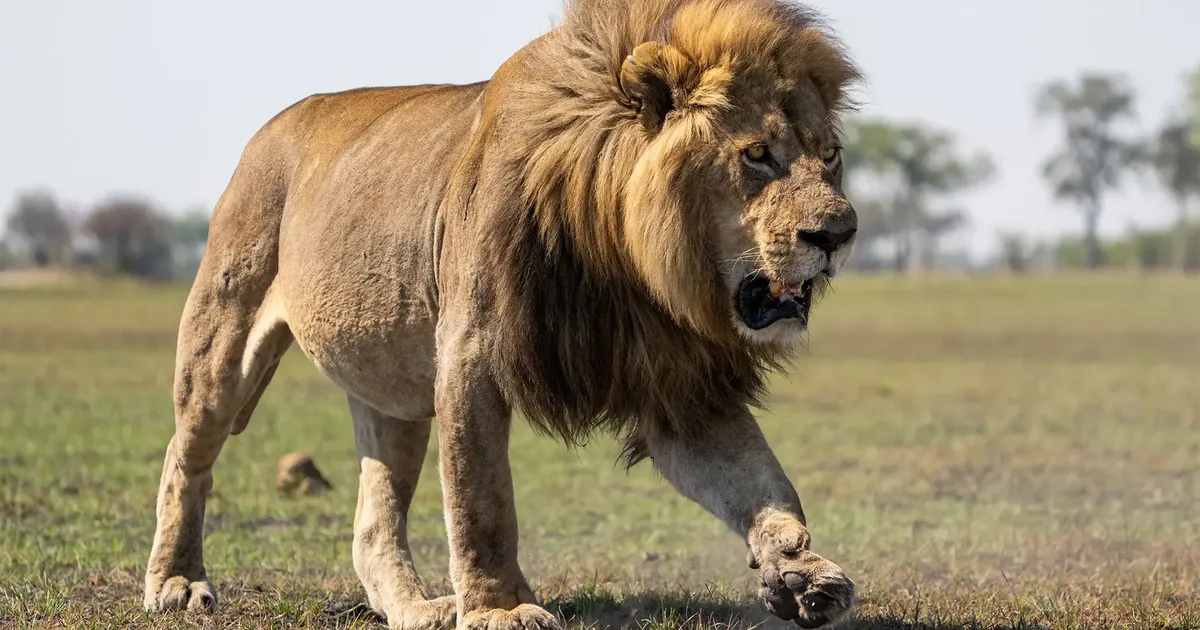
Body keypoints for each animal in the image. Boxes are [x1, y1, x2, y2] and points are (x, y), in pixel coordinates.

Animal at [142, 0, 863, 628]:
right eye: (757, 154)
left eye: (829, 155)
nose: (839, 234)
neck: (625, 260)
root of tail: (272, 126)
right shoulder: (470, 355)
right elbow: (481, 500)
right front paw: (498, 609)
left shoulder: (678, 386)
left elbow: (762, 480)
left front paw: (798, 568)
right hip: (224, 338)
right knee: (187, 456)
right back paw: (177, 582)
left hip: (393, 394)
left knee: (375, 521)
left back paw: (419, 608)